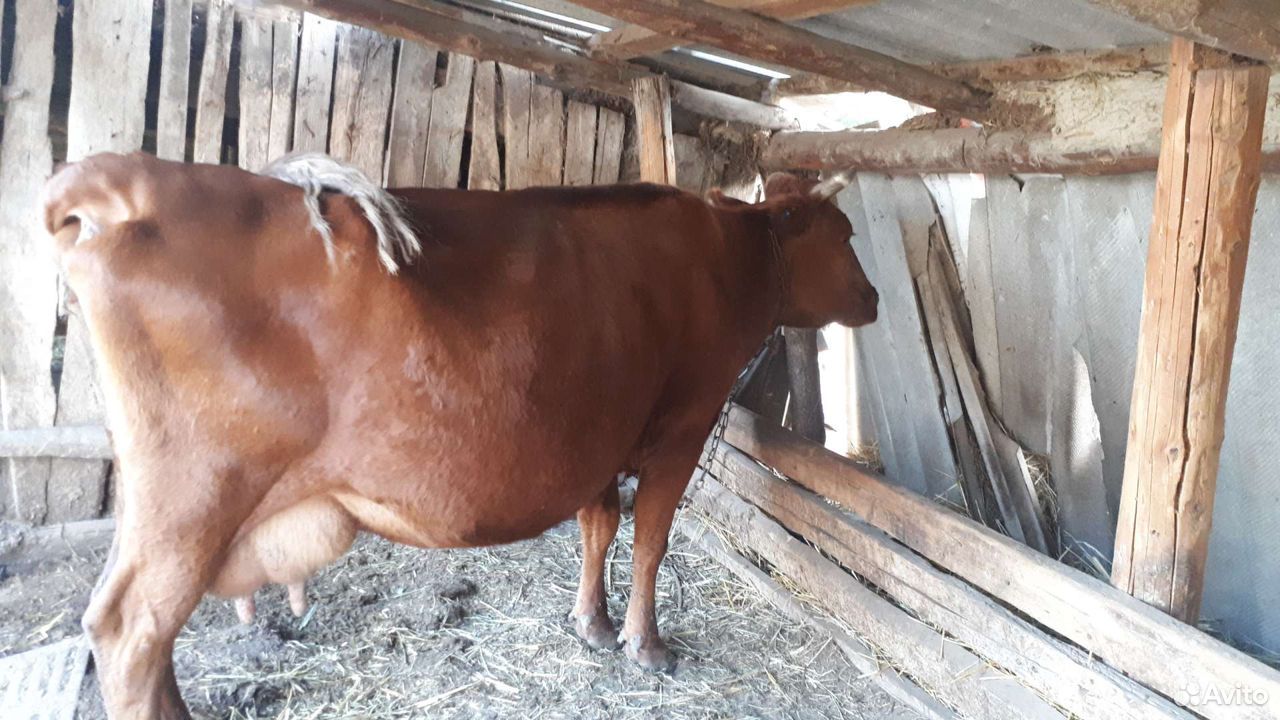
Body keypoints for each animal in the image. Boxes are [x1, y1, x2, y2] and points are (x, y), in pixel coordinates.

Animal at [40, 151, 878, 718]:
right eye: (842, 233)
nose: (872, 298)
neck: (725, 254)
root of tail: (123, 177)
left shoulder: (596, 437)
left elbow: (600, 527)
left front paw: (592, 624)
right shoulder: (681, 425)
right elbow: (649, 541)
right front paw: (646, 645)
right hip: (194, 497)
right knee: (130, 630)